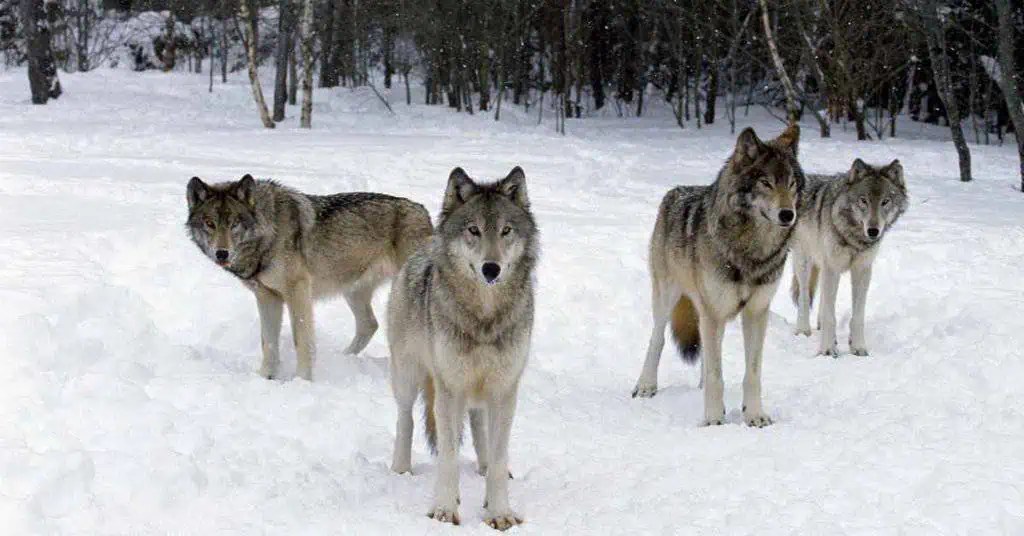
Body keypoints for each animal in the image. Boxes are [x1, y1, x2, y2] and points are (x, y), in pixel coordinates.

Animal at [186, 174, 432, 381]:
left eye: (234, 223)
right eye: (209, 223)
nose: (222, 253)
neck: (269, 233)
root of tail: (423, 211)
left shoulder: (298, 292)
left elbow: (302, 341)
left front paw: (302, 380)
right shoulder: (267, 297)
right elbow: (268, 342)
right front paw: (266, 377)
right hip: (353, 292)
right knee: (369, 325)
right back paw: (344, 358)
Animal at [388, 166, 538, 531]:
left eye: (506, 231)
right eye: (474, 230)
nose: (491, 268)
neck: (484, 317)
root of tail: (424, 245)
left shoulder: (504, 389)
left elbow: (498, 458)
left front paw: (499, 512)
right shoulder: (449, 388)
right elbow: (448, 455)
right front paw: (444, 509)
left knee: (479, 426)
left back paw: (482, 469)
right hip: (409, 377)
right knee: (405, 419)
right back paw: (401, 469)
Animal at [631, 125, 803, 428]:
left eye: (792, 183)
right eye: (766, 183)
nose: (787, 214)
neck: (752, 252)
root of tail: (675, 192)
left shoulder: (756, 311)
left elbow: (752, 373)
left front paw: (754, 415)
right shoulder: (713, 311)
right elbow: (715, 375)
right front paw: (712, 420)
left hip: (710, 313)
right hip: (668, 298)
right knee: (658, 339)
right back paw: (646, 386)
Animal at [790, 159, 907, 357]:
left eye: (885, 201)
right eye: (863, 200)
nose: (873, 231)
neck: (854, 238)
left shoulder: (862, 270)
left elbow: (857, 316)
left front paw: (858, 347)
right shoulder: (832, 267)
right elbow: (830, 316)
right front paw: (827, 349)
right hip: (804, 261)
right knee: (804, 297)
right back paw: (803, 330)